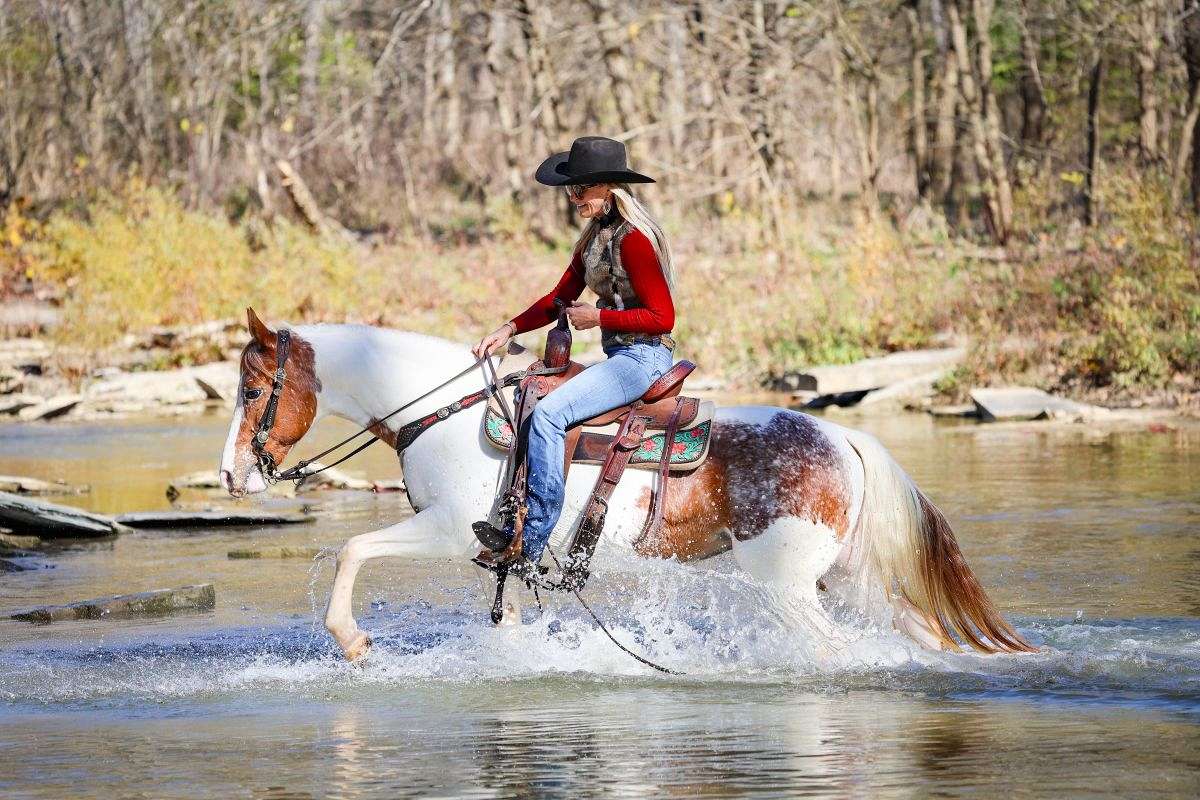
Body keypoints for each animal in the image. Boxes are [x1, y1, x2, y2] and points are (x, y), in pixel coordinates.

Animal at [219, 309, 1034, 663]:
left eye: (254, 389)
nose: (231, 474)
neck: (444, 412)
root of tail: (842, 438)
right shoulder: (502, 557)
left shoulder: (448, 532)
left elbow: (352, 550)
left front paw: (352, 640)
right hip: (849, 576)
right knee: (921, 632)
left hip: (791, 586)